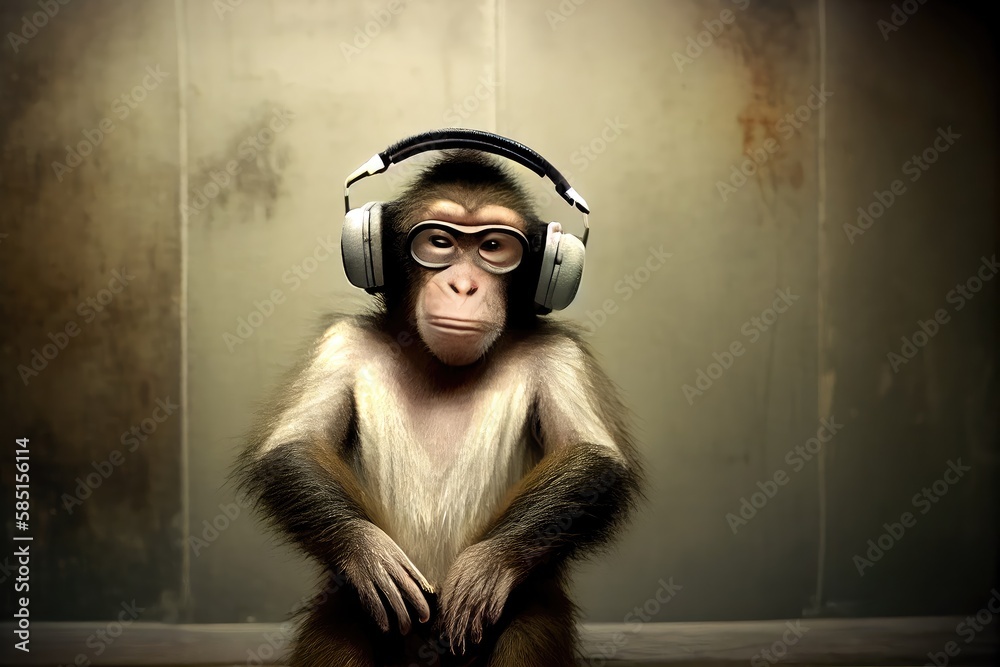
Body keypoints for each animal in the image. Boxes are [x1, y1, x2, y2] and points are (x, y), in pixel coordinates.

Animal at [233, 144, 644, 667]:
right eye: (439, 243)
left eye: (494, 248)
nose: (463, 285)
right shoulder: (340, 343)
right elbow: (295, 443)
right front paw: (366, 552)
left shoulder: (560, 354)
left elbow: (592, 453)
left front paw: (489, 564)